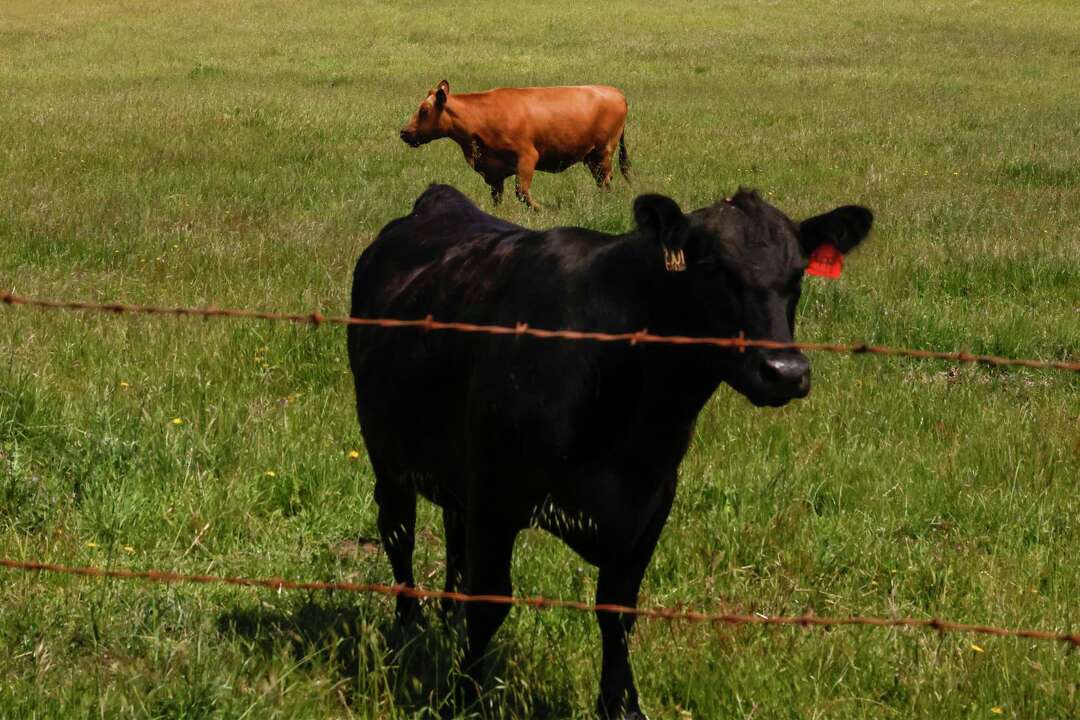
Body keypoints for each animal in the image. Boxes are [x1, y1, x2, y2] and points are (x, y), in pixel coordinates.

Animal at [347, 184, 873, 719]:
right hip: (388, 456)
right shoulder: (495, 498)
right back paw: (408, 629)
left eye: (798, 272)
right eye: (712, 267)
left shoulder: (650, 505)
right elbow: (490, 603)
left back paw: (446, 619)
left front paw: (621, 704)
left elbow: (617, 612)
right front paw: (465, 697)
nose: (785, 371)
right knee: (399, 537)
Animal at [399, 81, 631, 209]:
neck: (482, 116)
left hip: (603, 152)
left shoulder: (527, 158)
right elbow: (497, 196)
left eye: (424, 111)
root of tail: (615, 92)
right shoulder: (493, 172)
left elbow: (522, 191)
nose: (404, 133)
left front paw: (540, 209)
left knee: (606, 180)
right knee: (601, 181)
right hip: (592, 157)